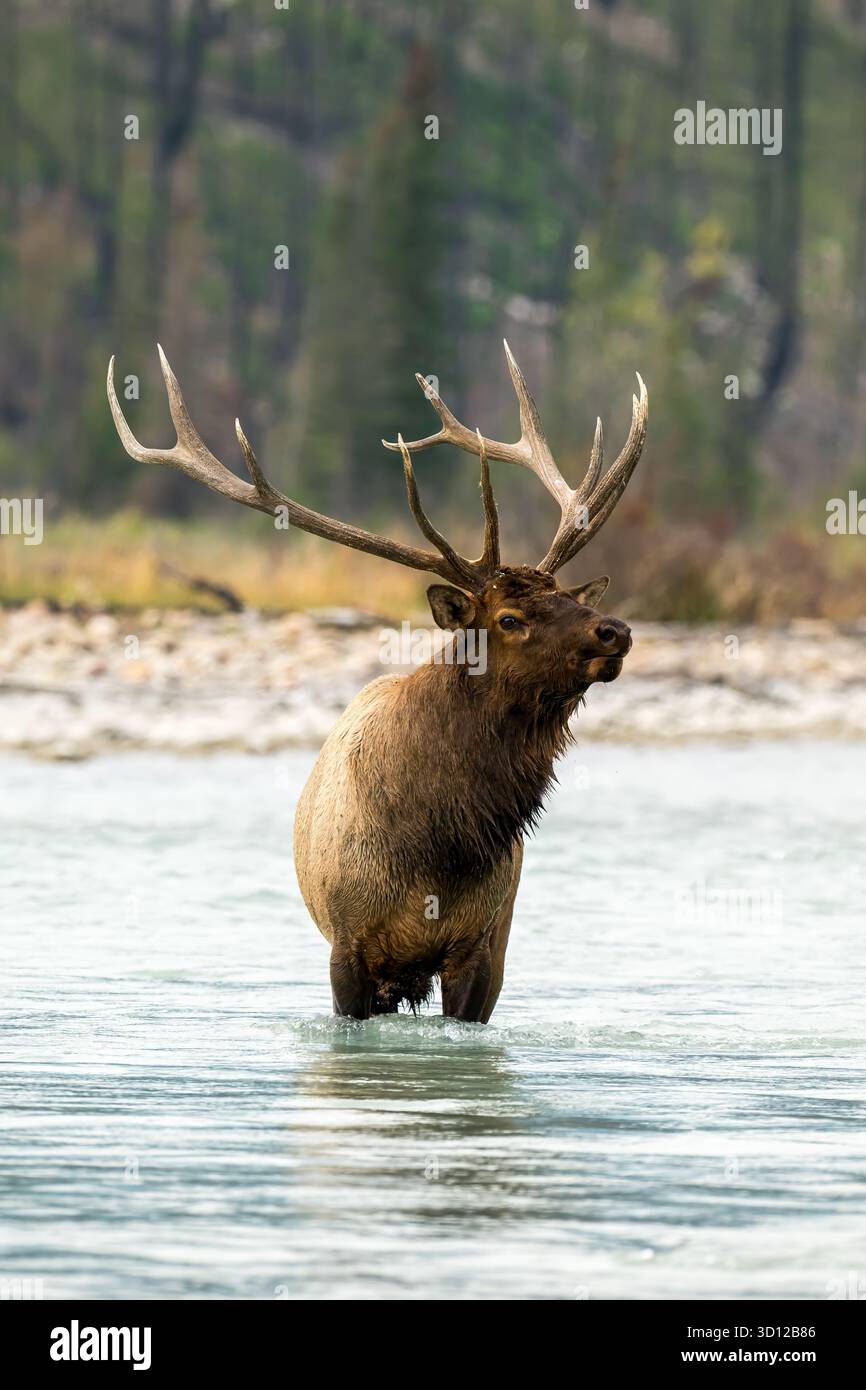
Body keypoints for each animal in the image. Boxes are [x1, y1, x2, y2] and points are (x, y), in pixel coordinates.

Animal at [107, 341, 647, 1022]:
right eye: (509, 618)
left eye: (567, 598)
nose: (615, 630)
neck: (436, 845)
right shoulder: (349, 944)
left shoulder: (482, 948)